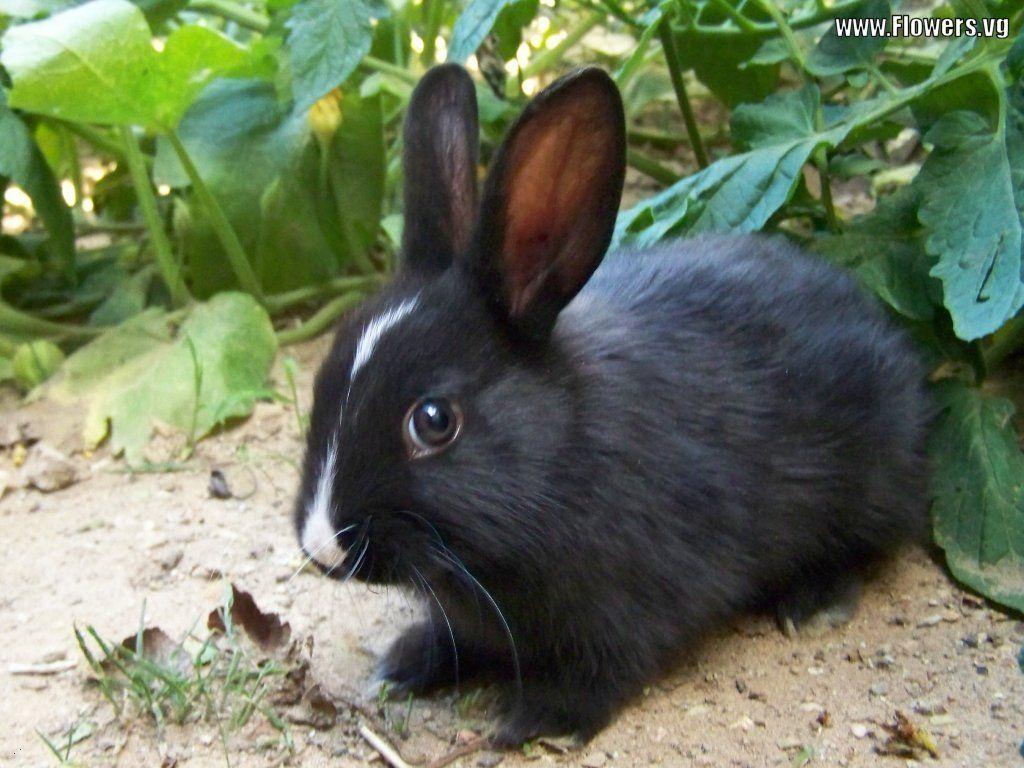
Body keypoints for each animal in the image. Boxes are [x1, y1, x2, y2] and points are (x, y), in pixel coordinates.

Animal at [293, 63, 930, 746]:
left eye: (434, 422)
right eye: (322, 381)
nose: (322, 547)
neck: (556, 453)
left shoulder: (629, 607)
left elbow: (604, 671)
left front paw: (538, 719)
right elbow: (456, 638)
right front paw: (407, 663)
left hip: (869, 488)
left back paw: (814, 603)